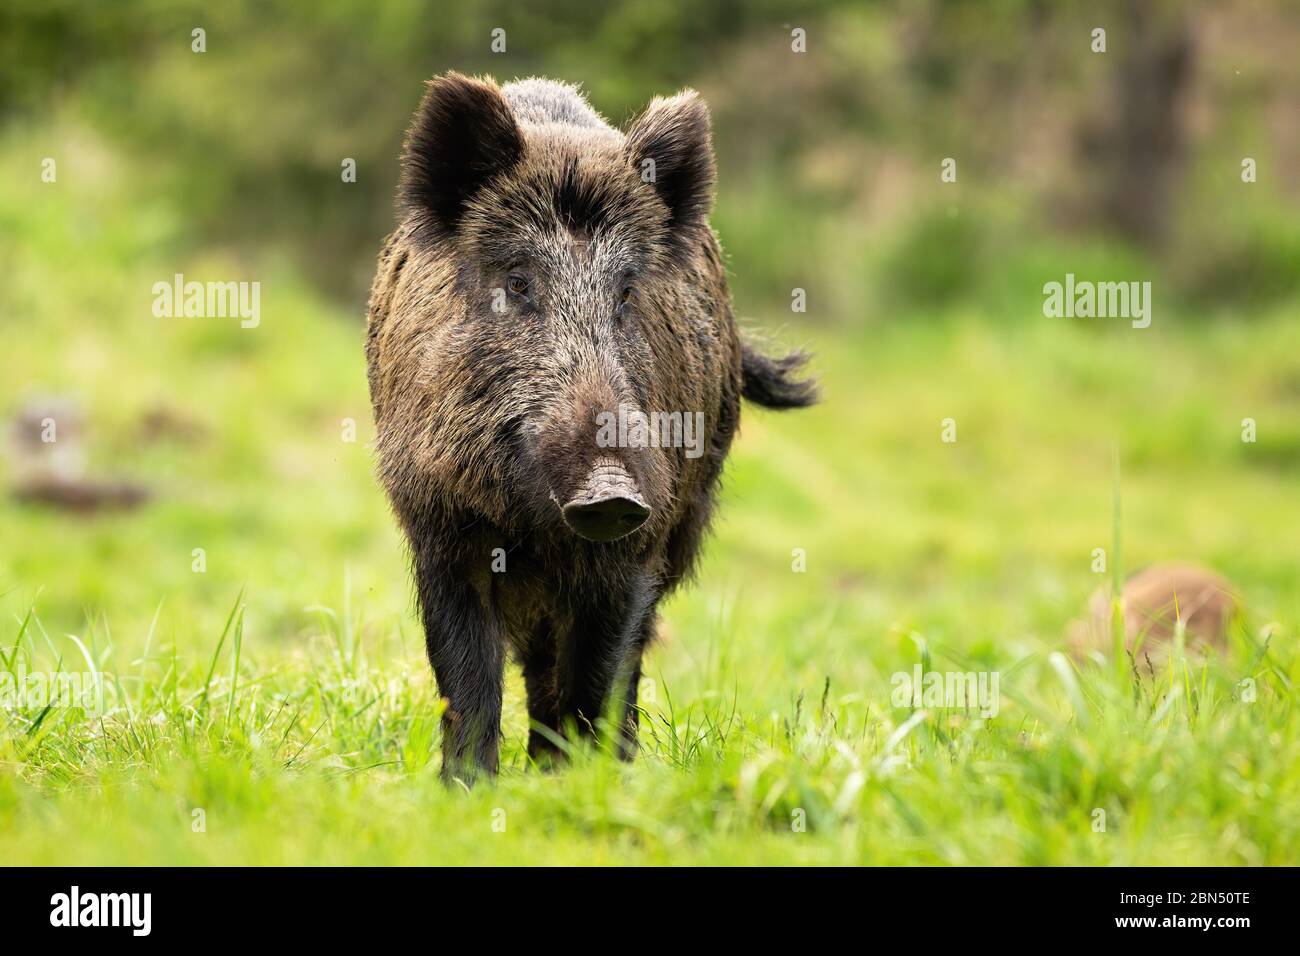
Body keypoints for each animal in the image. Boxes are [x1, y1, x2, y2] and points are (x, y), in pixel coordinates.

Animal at [365, 73, 815, 780]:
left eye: (627, 291)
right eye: (517, 282)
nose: (609, 489)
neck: (534, 524)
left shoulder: (637, 542)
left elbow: (601, 671)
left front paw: (587, 779)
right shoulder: (440, 522)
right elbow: (465, 672)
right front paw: (468, 787)